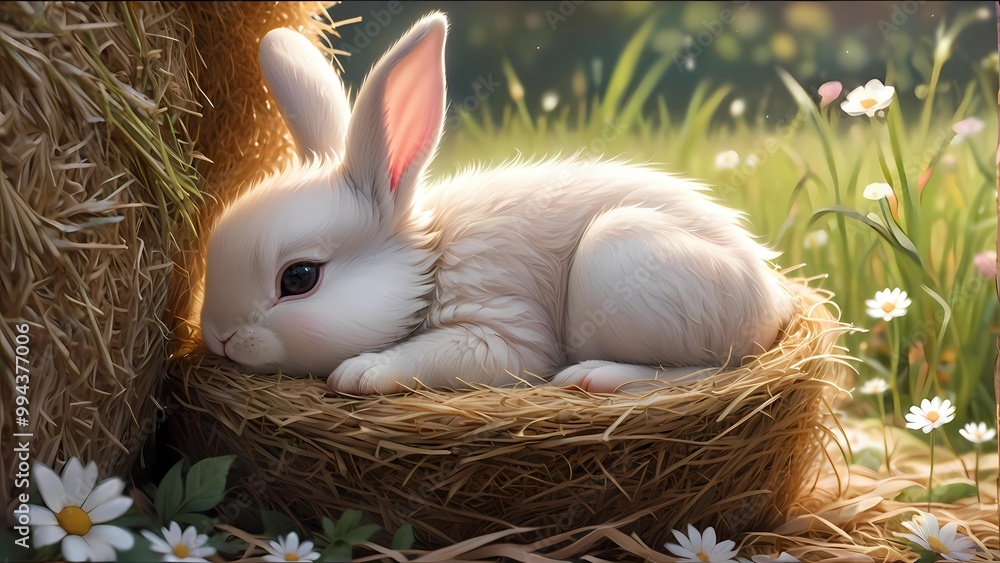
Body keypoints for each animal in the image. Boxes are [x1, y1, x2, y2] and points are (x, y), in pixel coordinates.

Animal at [199, 12, 798, 395]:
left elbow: (461, 355)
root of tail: (771, 301)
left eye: (299, 278)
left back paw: (593, 377)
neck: (433, 263)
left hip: (620, 258)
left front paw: (360, 372)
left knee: (713, 368)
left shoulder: (502, 329)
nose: (219, 338)